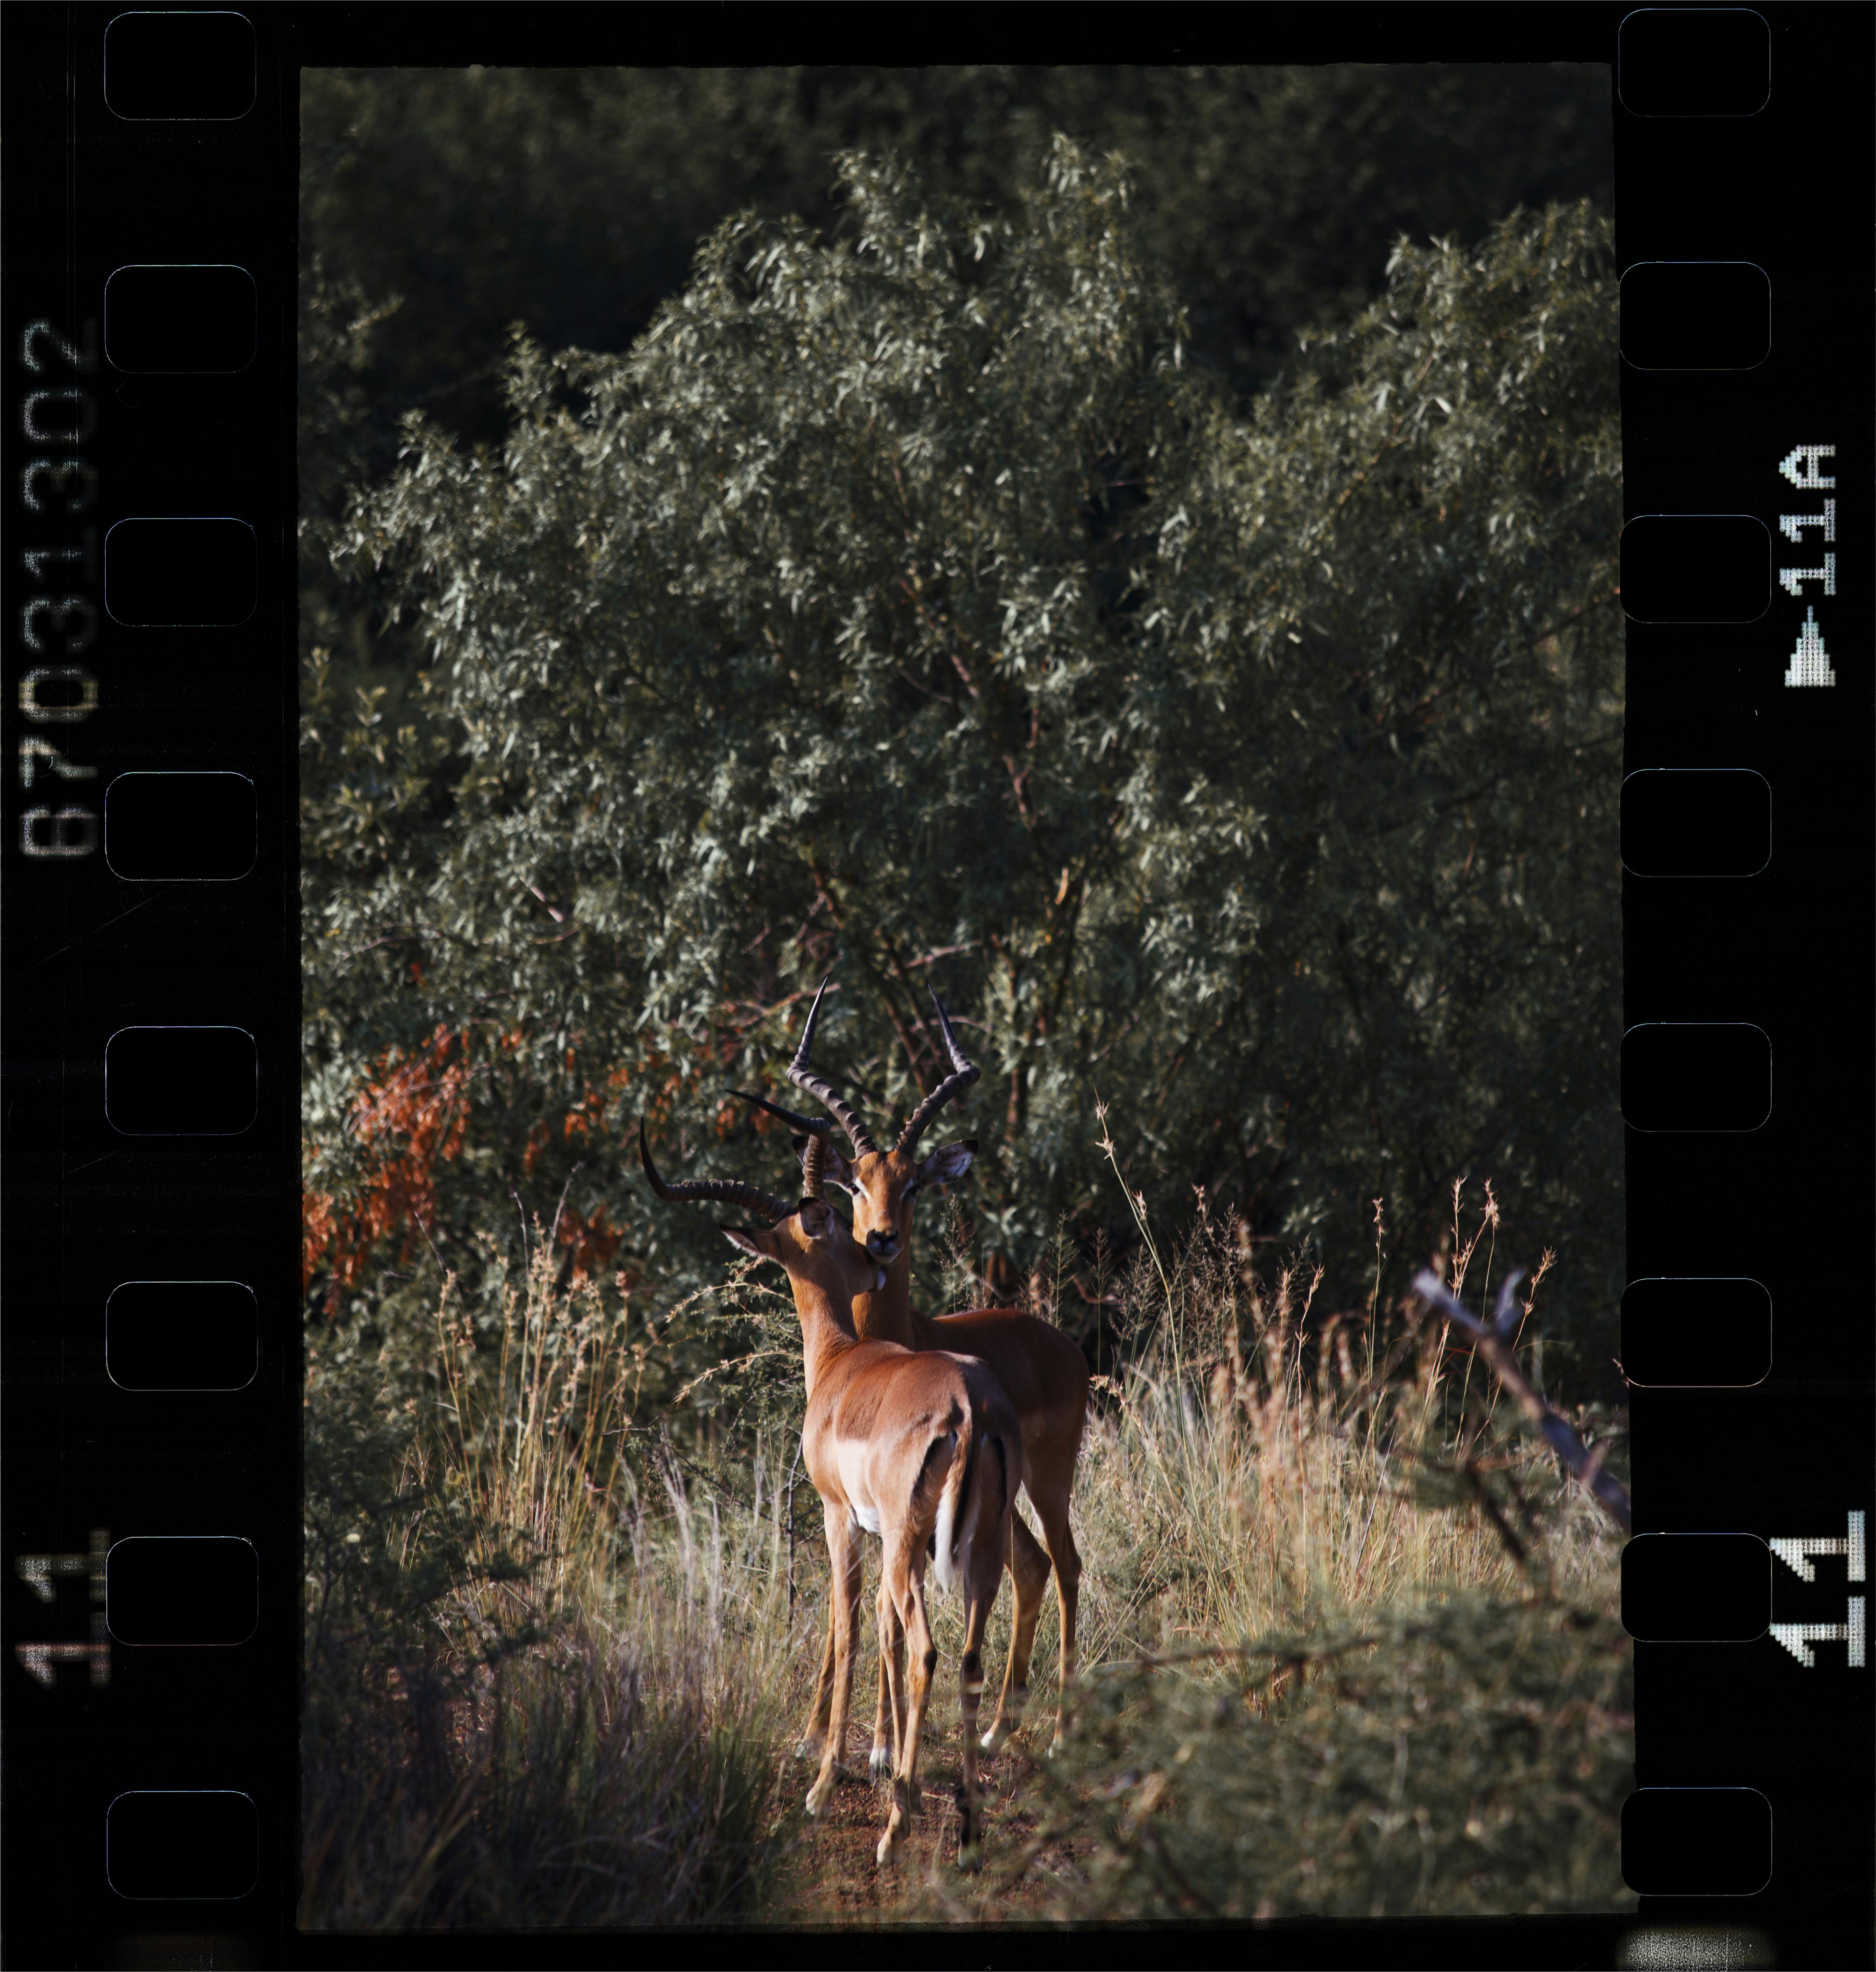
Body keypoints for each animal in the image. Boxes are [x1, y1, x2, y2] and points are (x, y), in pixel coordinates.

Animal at [639, 1118, 1019, 1869]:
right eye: (849, 1210)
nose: (878, 1253)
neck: (842, 1361)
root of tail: (971, 1405)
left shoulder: (839, 1518)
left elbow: (846, 1631)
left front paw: (825, 1782)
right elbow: (875, 1630)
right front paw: (878, 1762)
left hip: (907, 1545)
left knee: (928, 1650)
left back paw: (894, 1831)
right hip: (978, 1549)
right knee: (968, 1655)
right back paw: (966, 1830)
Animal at [733, 979, 1087, 1774]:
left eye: (915, 1183)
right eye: (857, 1184)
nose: (881, 1239)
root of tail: (1062, 1343)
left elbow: (873, 1614)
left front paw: (874, 1746)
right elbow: (854, 1616)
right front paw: (819, 1736)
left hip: (1047, 1480)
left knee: (1066, 1563)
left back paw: (1054, 1734)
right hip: (995, 1506)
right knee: (1028, 1567)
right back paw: (996, 1728)